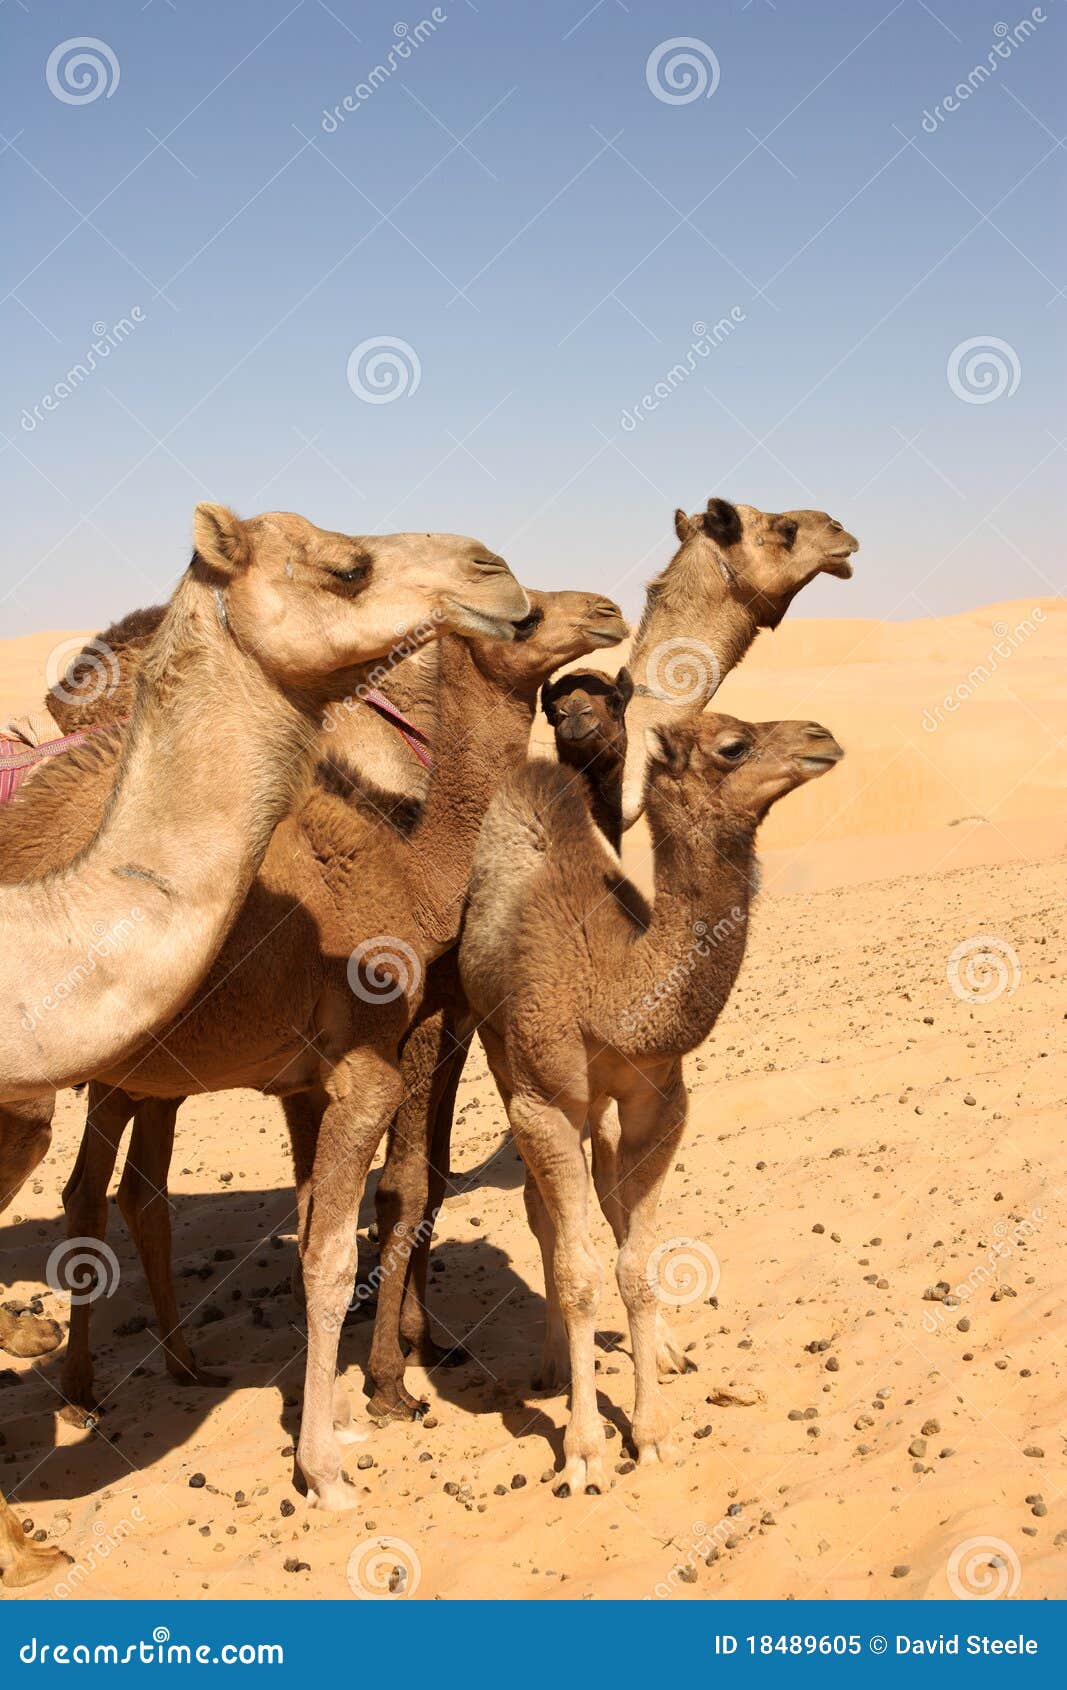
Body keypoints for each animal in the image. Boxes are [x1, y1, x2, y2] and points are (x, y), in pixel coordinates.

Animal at [0, 588, 627, 1516]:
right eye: (526, 613)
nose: (605, 609)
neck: (410, 871)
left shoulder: (306, 1081)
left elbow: (313, 1233)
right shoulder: (364, 1070)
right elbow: (335, 1255)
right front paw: (329, 1460)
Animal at [457, 711, 843, 1494]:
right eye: (732, 746)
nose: (821, 735)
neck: (611, 992)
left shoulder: (660, 1102)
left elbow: (636, 1264)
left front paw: (655, 1431)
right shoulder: (542, 1100)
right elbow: (576, 1268)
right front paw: (584, 1451)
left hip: (602, 1109)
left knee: (605, 1199)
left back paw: (662, 1351)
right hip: (500, 1054)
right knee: (545, 1218)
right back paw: (551, 1364)